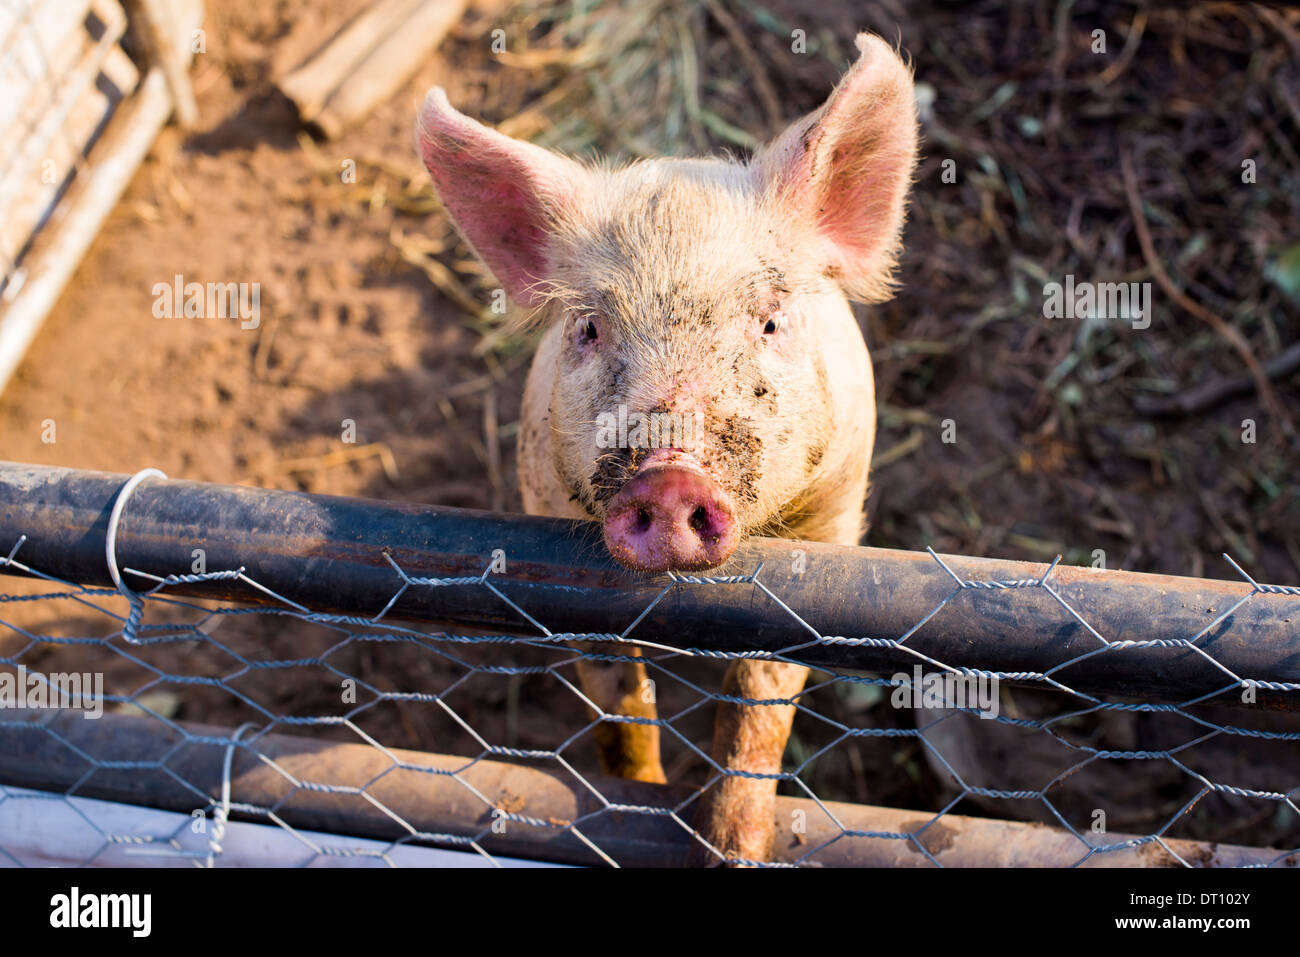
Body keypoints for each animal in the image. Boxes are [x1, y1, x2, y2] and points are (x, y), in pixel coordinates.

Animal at [416, 32, 918, 864]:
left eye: (771, 320)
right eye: (589, 326)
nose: (669, 474)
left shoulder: (829, 527)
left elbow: (758, 706)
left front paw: (733, 847)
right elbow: (619, 704)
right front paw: (640, 799)